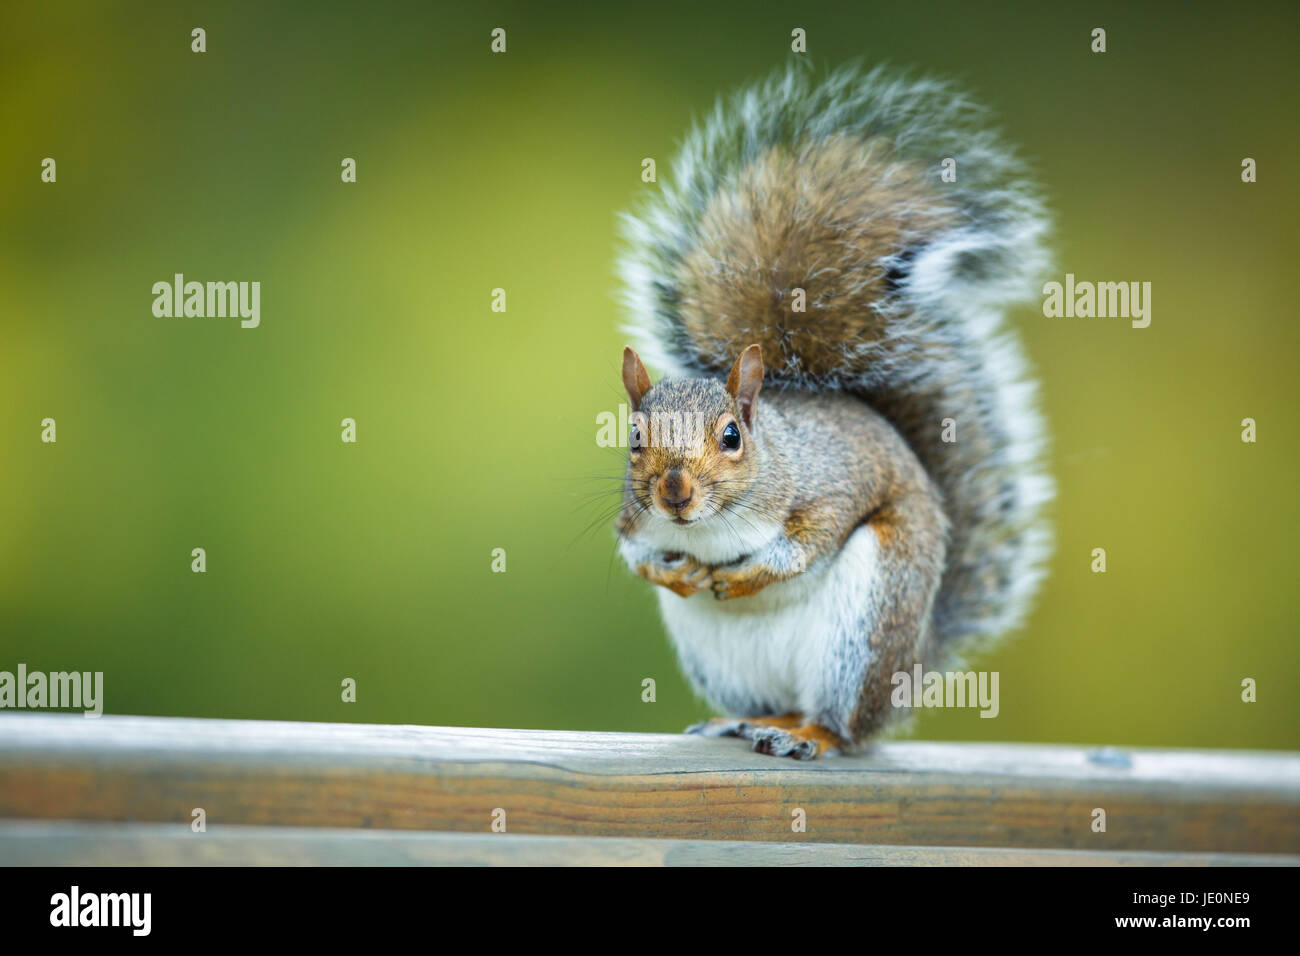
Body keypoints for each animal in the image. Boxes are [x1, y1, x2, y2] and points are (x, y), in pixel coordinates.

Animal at [613, 63, 1053, 759]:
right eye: (634, 438)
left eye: (732, 436)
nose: (674, 494)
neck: (706, 530)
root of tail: (914, 666)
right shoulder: (633, 521)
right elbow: (634, 553)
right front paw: (674, 574)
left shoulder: (828, 486)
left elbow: (806, 543)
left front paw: (744, 577)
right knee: (775, 703)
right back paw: (747, 721)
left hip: (868, 623)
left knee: (843, 724)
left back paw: (808, 735)